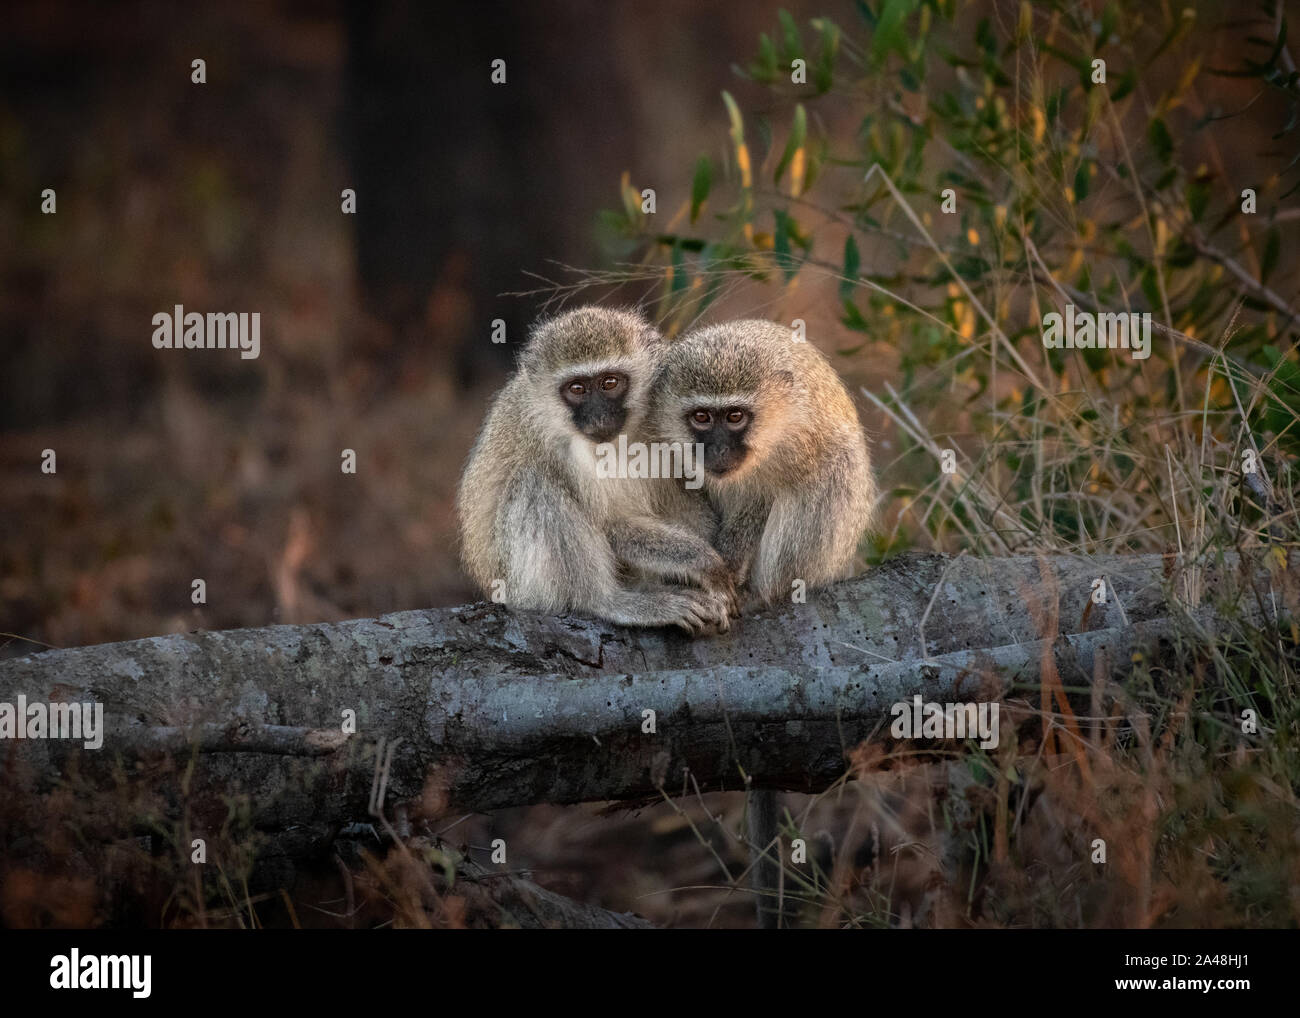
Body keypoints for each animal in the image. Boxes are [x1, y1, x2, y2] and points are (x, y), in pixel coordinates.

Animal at [456, 306, 736, 635]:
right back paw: (608, 601)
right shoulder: (564, 448)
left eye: (609, 383)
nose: (599, 417)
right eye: (577, 389)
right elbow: (609, 522)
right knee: (535, 482)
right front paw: (701, 561)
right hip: (521, 589)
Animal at [650, 317, 879, 926]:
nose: (719, 451)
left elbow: (766, 495)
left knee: (826, 471)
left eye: (735, 417)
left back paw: (762, 594)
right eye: (701, 419)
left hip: (825, 547)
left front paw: (728, 575)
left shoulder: (792, 439)